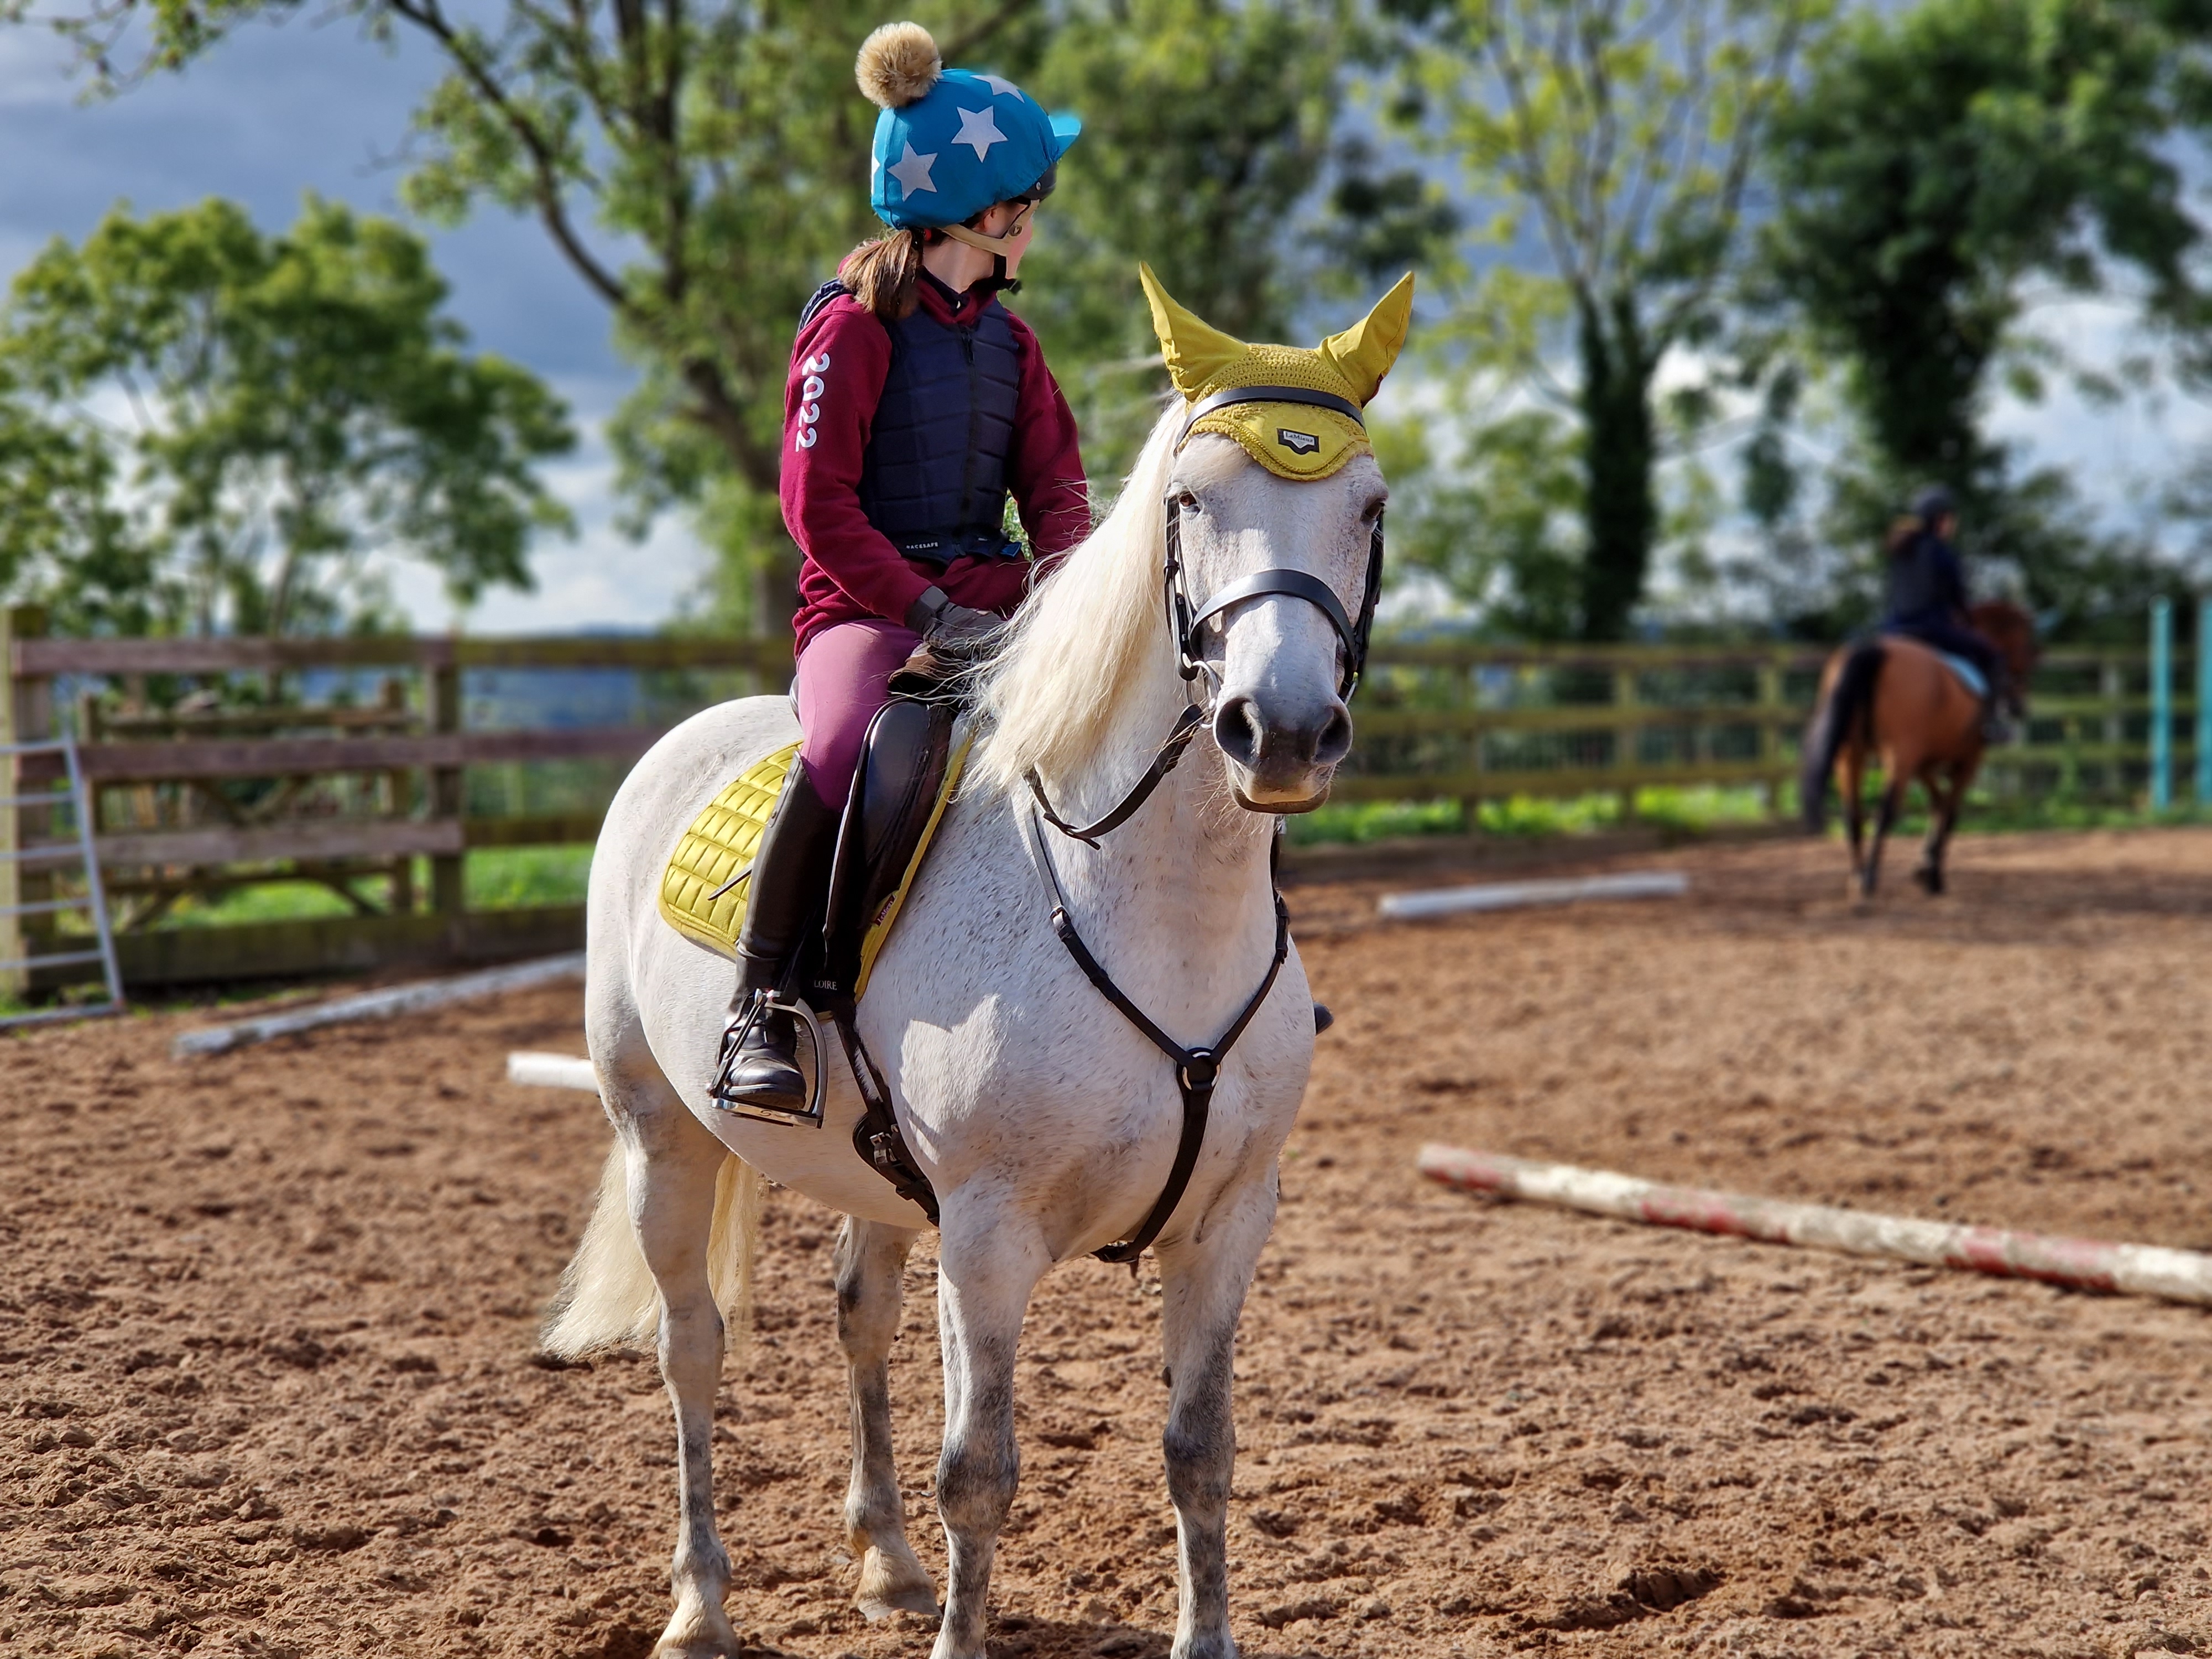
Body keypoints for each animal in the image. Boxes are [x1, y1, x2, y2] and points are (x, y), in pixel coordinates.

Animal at [537, 357, 1394, 1656]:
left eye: (1367, 507)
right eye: (1187, 500)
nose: (1282, 730)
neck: (1150, 908)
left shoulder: (1228, 1226)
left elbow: (1201, 1451)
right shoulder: (989, 1238)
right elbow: (978, 1472)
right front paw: (955, 1628)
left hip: (879, 1184)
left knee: (859, 1317)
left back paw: (886, 1561)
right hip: (661, 1137)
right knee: (692, 1348)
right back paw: (699, 1603)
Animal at [1798, 600, 2037, 900]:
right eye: (2027, 647)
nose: (2018, 708)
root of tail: (1876, 649)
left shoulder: (1922, 763)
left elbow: (1937, 802)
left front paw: (1923, 868)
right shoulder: (1968, 760)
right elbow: (1950, 812)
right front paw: (1933, 875)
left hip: (1851, 754)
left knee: (1853, 813)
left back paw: (1857, 878)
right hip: (1900, 755)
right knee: (1886, 811)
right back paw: (1870, 879)